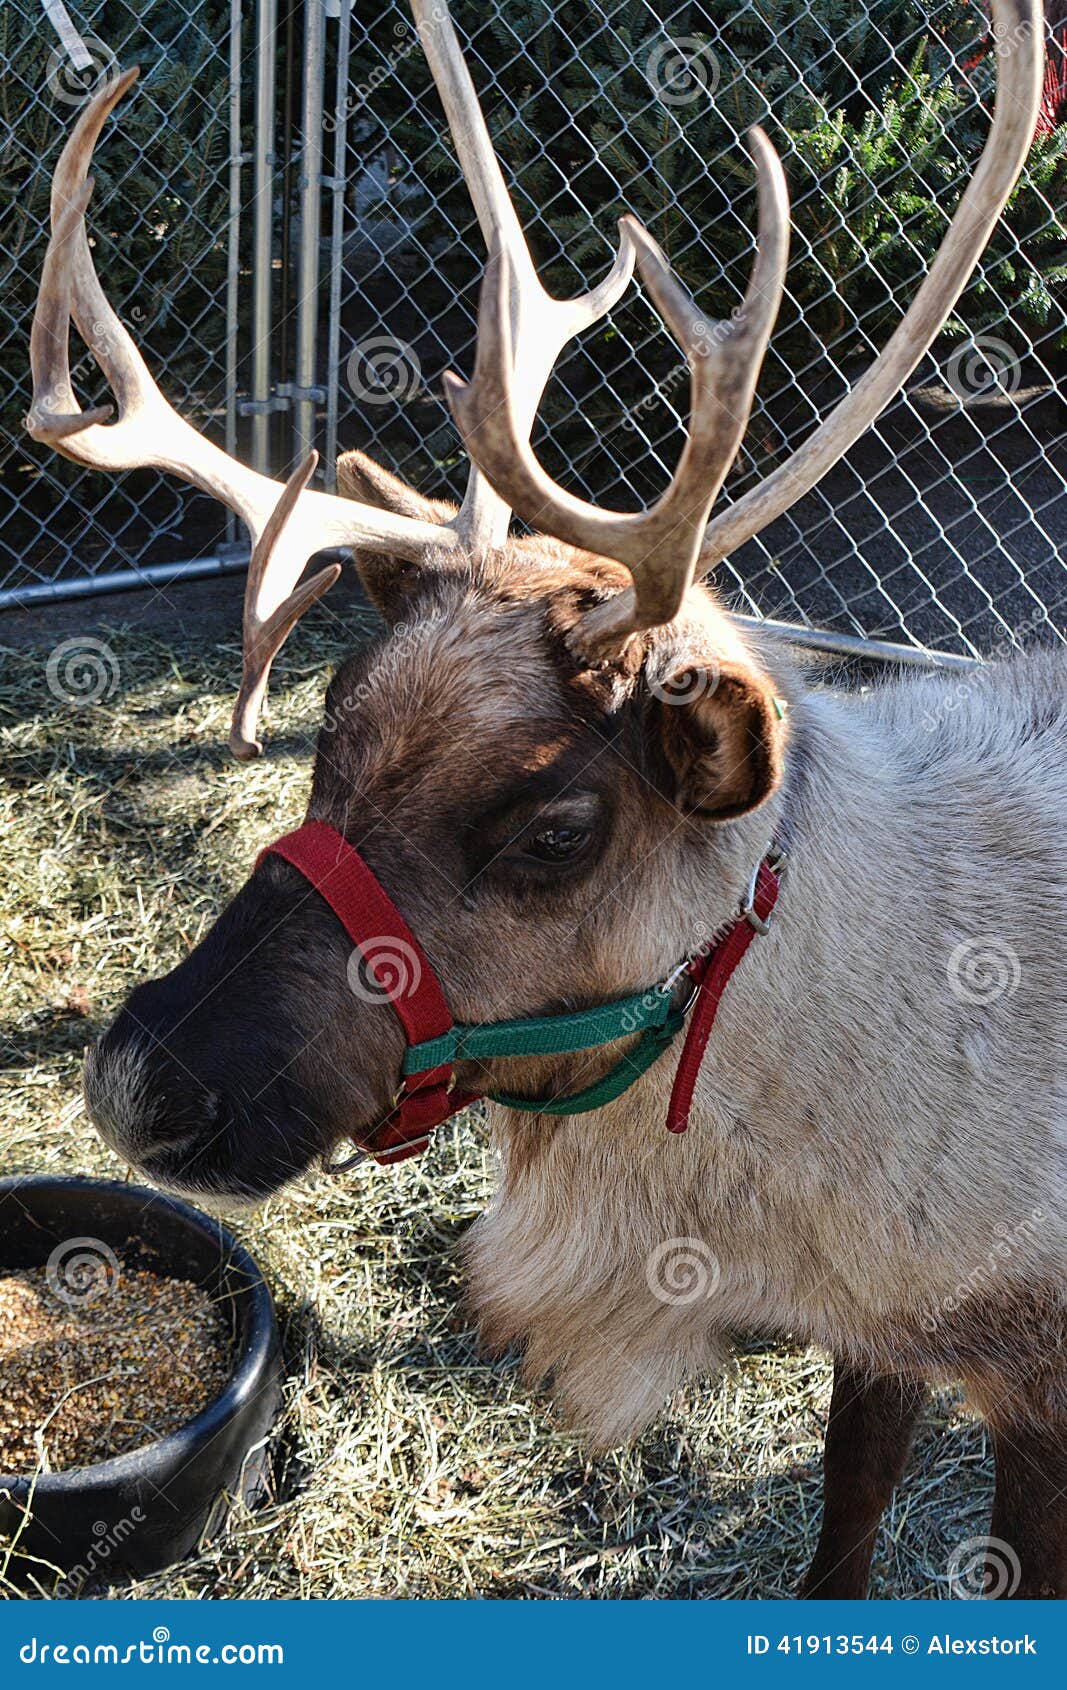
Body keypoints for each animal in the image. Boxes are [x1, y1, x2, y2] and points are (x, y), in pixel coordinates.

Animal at [28, 0, 1064, 1600]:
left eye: (555, 831)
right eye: (326, 732)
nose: (140, 1080)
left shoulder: (1033, 1372)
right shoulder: (877, 1325)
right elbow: (844, 1518)